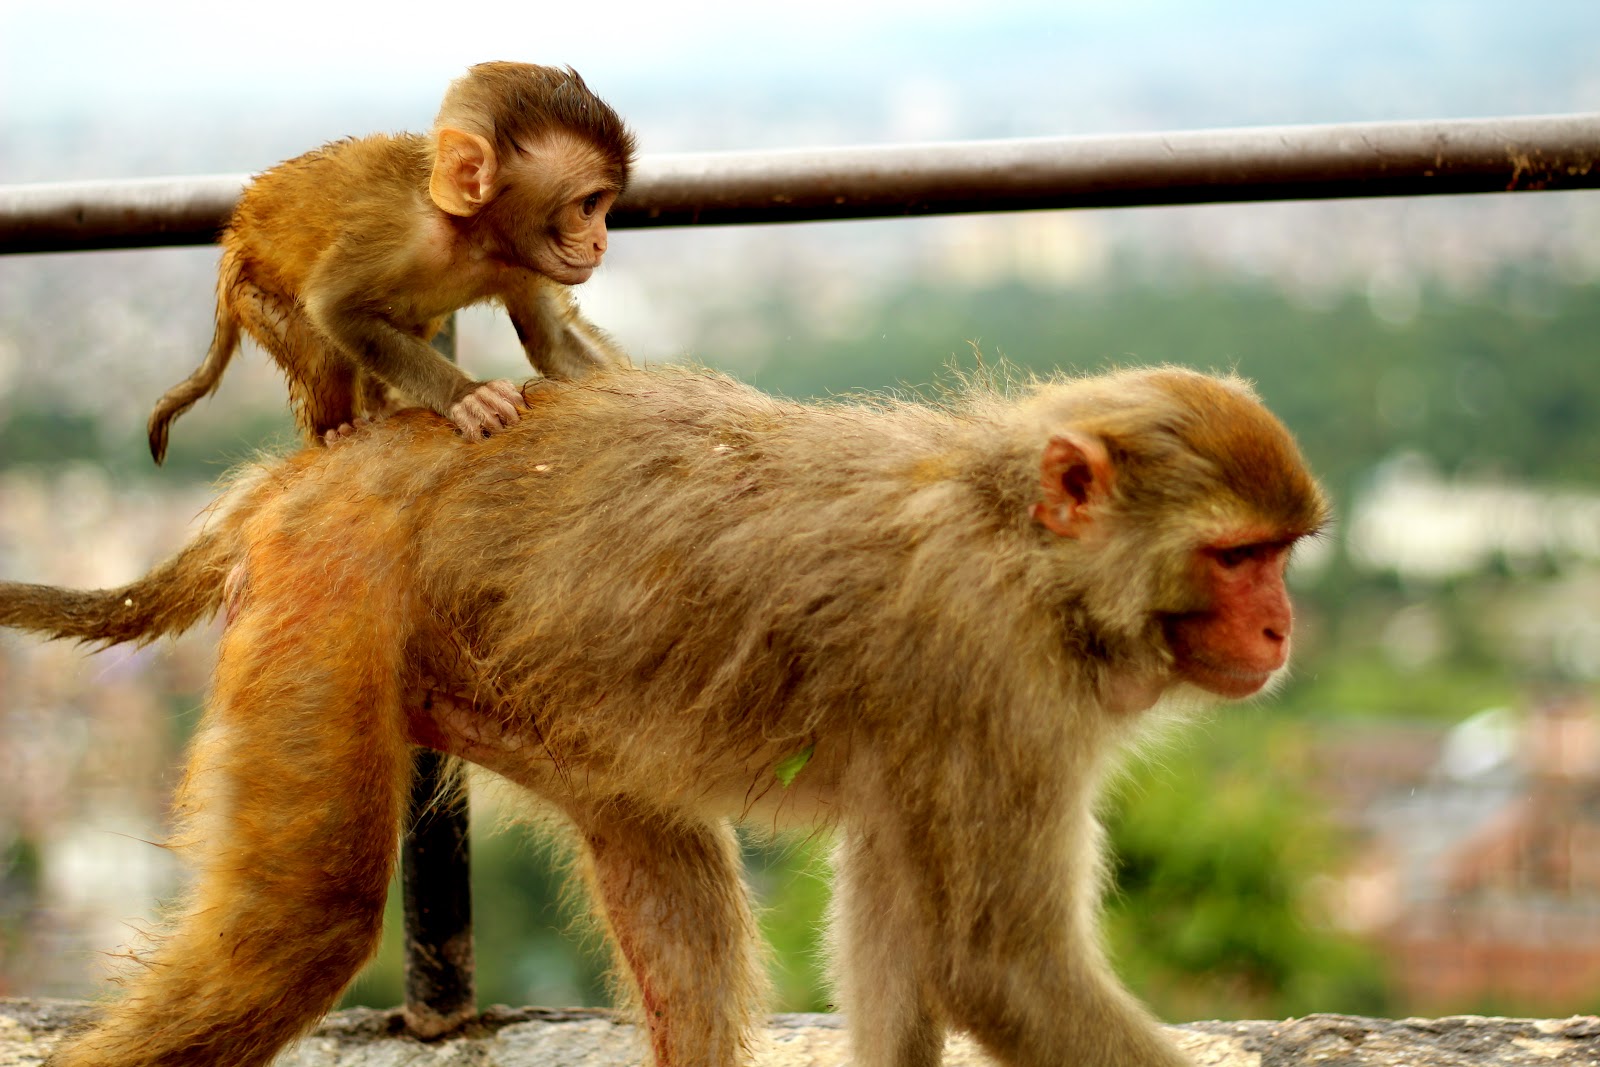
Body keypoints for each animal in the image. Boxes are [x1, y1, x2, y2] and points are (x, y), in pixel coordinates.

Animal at [0, 364, 1327, 1067]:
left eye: (1281, 556)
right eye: (1237, 556)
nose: (1281, 629)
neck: (1029, 555)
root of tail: (316, 470)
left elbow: (902, 924)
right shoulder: (995, 680)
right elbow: (997, 964)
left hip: (495, 677)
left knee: (658, 844)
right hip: (327, 605)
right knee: (297, 929)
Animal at [145, 61, 636, 463]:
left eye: (603, 205)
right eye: (589, 206)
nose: (600, 243)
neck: (469, 234)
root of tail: (234, 239)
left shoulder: (518, 265)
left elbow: (551, 343)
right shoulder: (396, 234)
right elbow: (332, 307)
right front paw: (466, 396)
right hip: (255, 290)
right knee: (320, 343)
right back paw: (335, 431)